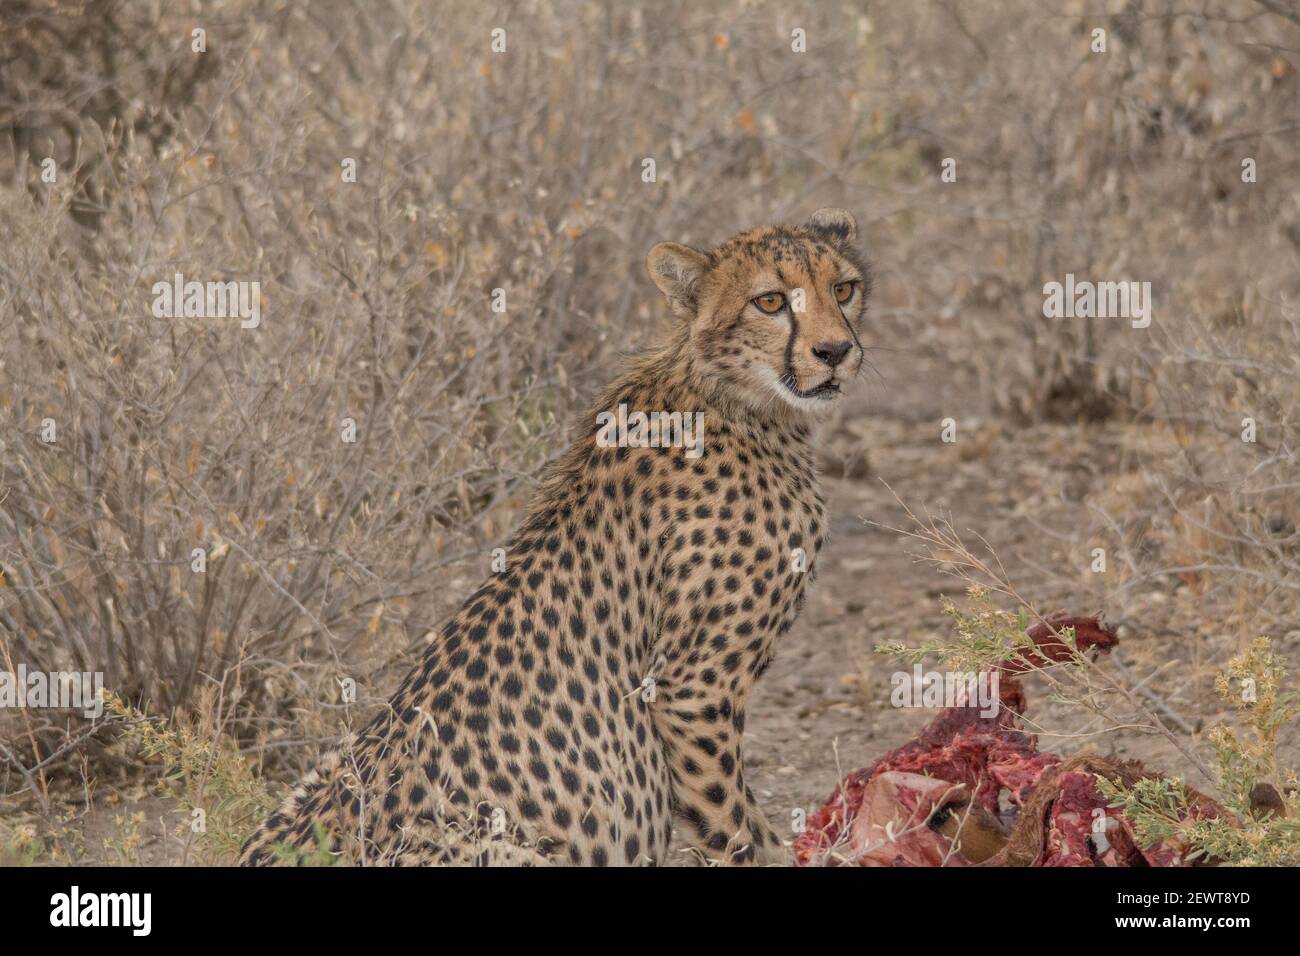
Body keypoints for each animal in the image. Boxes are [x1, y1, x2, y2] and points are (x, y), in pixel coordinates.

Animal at [240, 208, 871, 866]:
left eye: (843, 289)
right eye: (770, 301)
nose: (835, 351)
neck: (734, 397)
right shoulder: (689, 689)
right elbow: (734, 824)